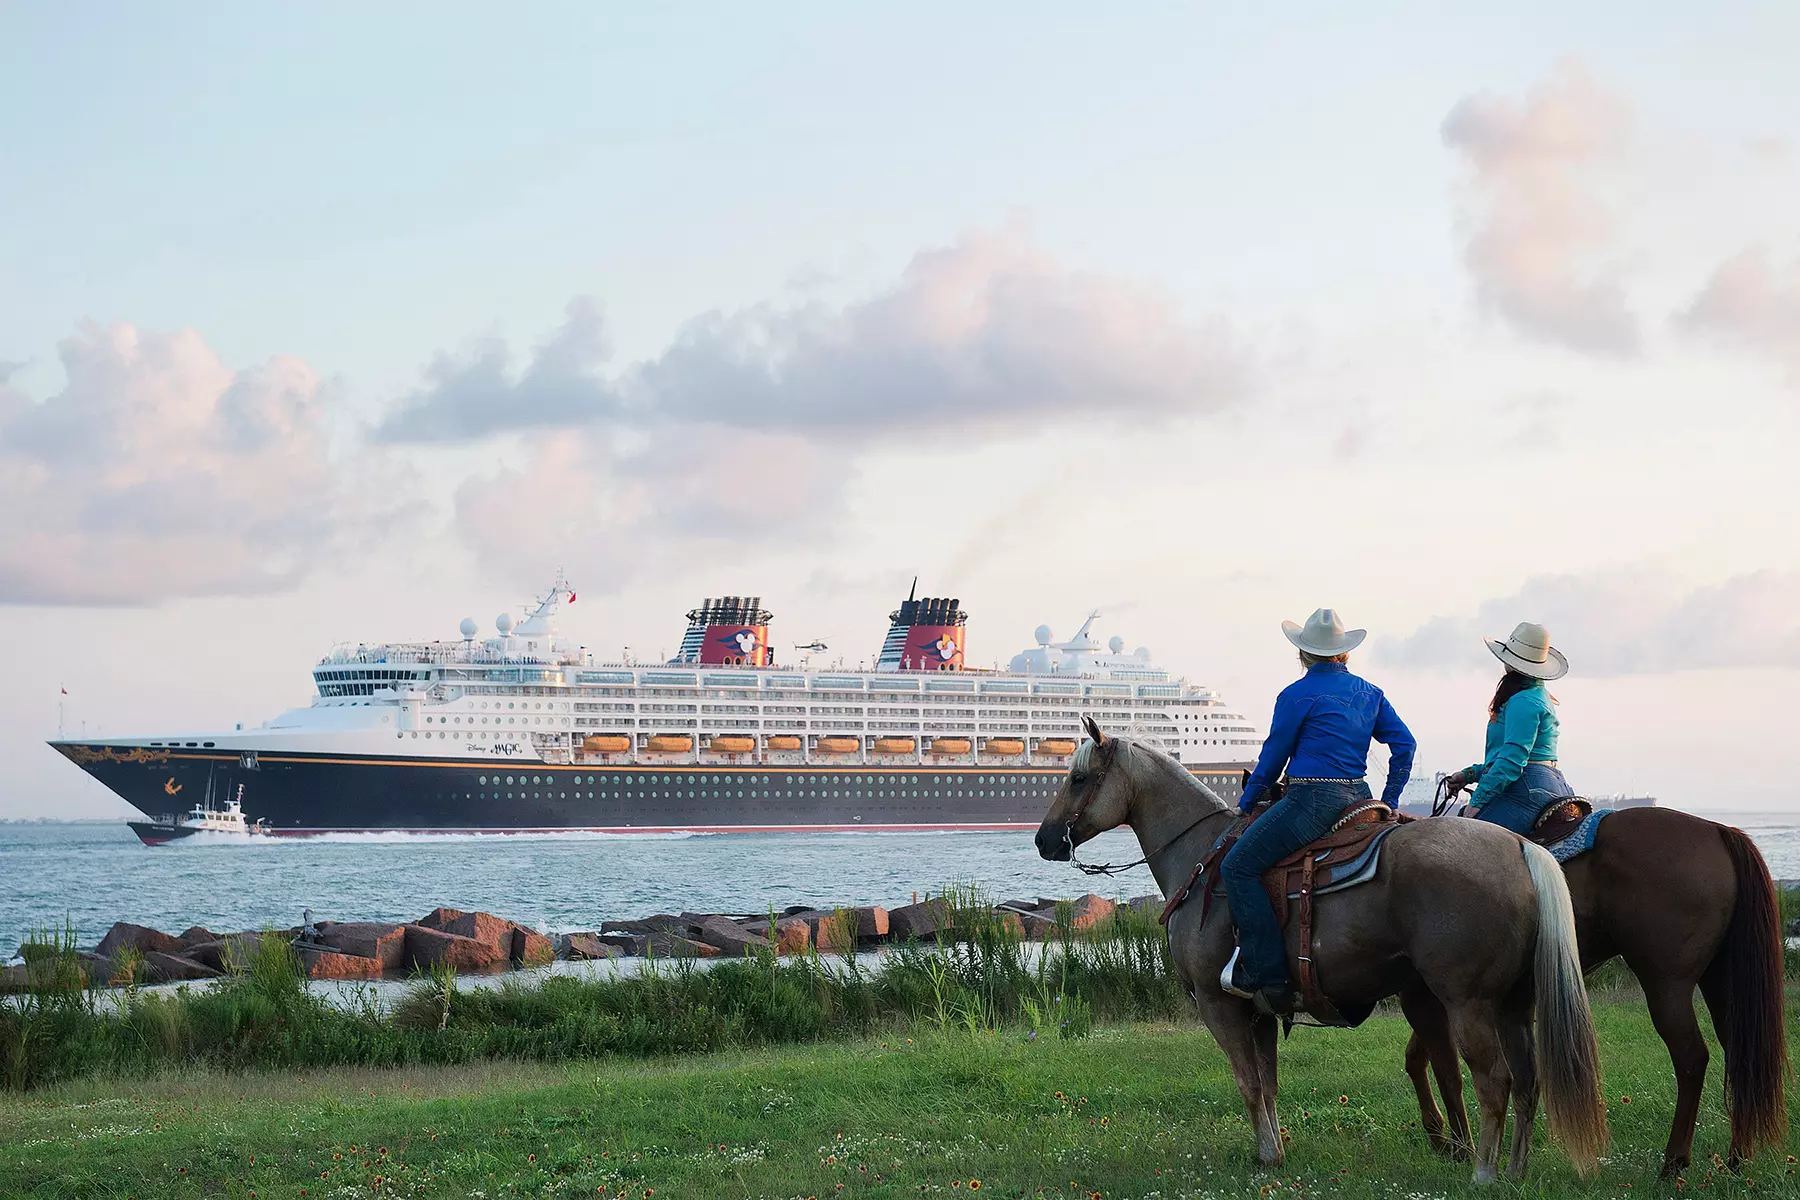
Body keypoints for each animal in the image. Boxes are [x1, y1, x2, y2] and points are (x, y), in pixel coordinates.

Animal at [1036, 723, 1612, 1180]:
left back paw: (1485, 1174)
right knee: (1528, 1083)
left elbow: (1247, 1084)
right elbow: (1268, 1085)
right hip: (1515, 1003)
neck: (1203, 858)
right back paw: (1515, 1170)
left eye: (1079, 778)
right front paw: (1273, 1152)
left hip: (1468, 1003)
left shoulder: (1218, 1005)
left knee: (1495, 1082)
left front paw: (1268, 1155)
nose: (1044, 840)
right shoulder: (1260, 1010)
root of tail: (1522, 846)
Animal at [1396, 802, 1778, 1180]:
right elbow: (1419, 1058)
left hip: (1667, 984)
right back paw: (1738, 1157)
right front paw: (1444, 1139)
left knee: (1691, 1058)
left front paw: (1455, 1144)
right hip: (1718, 978)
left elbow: (1442, 1068)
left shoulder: (1443, 997)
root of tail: (1717, 830)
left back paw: (1674, 1161)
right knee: (1737, 1050)